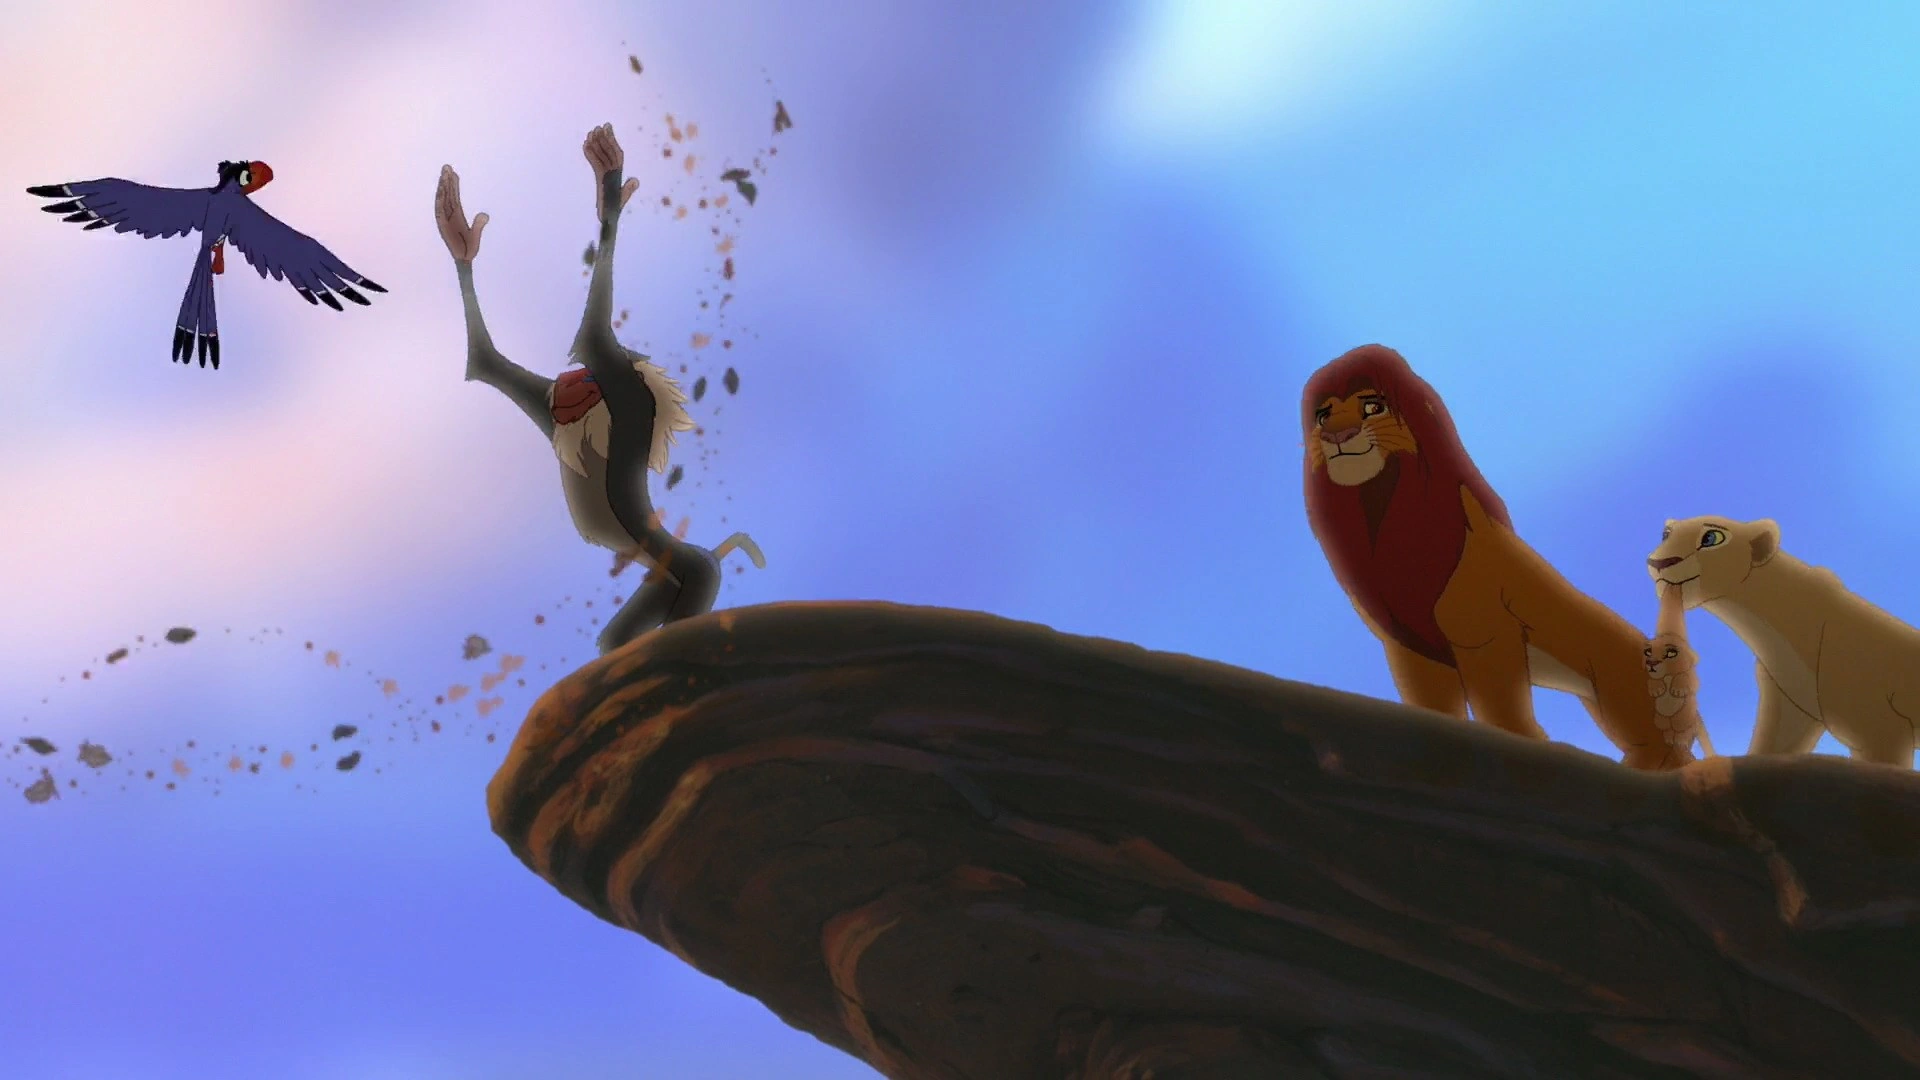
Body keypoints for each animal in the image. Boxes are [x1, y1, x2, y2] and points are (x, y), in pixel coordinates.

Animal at [1302, 344, 1688, 770]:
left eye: (1373, 406)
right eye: (1323, 414)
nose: (1336, 434)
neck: (1382, 514)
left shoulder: (1484, 632)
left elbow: (1500, 703)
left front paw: (1524, 742)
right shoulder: (1409, 646)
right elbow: (1433, 704)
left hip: (1621, 691)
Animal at [1646, 516, 1919, 768]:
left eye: (1711, 538)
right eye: (1666, 534)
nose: (1659, 562)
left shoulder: (1880, 731)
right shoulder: (1789, 714)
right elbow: (1767, 748)